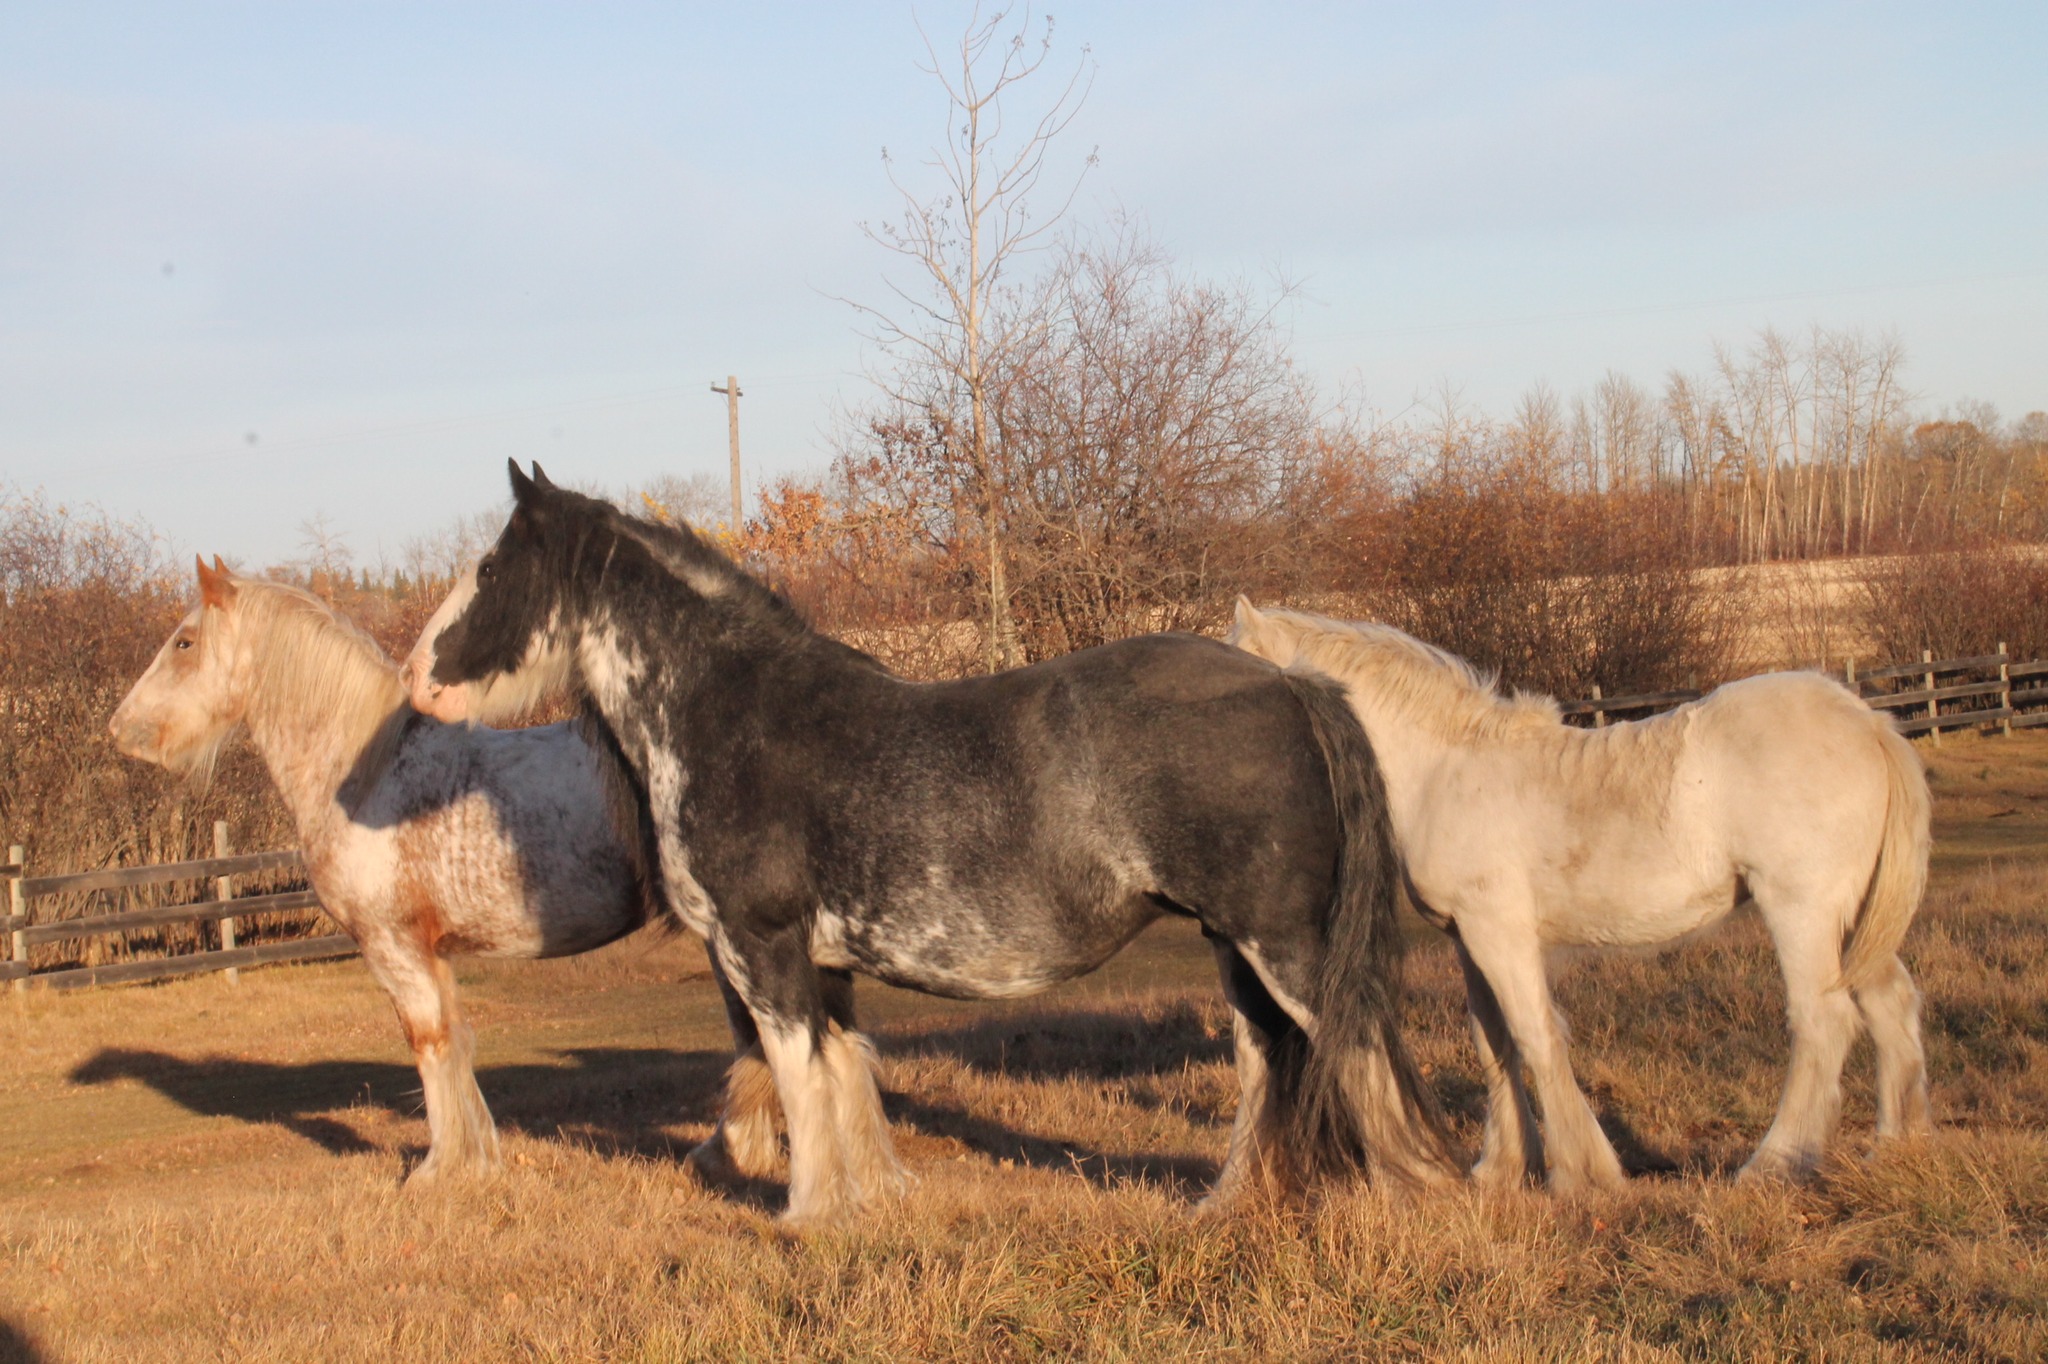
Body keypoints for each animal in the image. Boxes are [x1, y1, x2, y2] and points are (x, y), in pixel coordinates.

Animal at [110, 557, 661, 1185]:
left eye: (184, 641)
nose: (120, 728)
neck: (367, 778)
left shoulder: (392, 945)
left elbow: (429, 1042)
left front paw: (436, 1170)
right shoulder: (430, 951)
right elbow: (456, 1040)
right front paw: (476, 1162)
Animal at [406, 460, 1462, 1225]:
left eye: (491, 569)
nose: (417, 676)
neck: (732, 713)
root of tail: (1290, 684)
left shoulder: (760, 946)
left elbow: (795, 1072)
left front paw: (806, 1218)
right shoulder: (821, 961)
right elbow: (841, 1070)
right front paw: (870, 1202)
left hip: (1284, 943)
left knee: (1354, 1044)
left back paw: (1422, 1203)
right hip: (1233, 947)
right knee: (1270, 1061)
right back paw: (1231, 1206)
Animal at [1228, 600, 1934, 1191]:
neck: (1443, 768)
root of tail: (1868, 722)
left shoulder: (1499, 933)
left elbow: (1536, 1034)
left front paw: (1579, 1175)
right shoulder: (1468, 938)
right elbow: (1494, 1041)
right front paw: (1500, 1170)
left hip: (1800, 909)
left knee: (1822, 1021)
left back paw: (1772, 1167)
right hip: (1853, 919)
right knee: (1889, 1004)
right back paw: (1893, 1148)